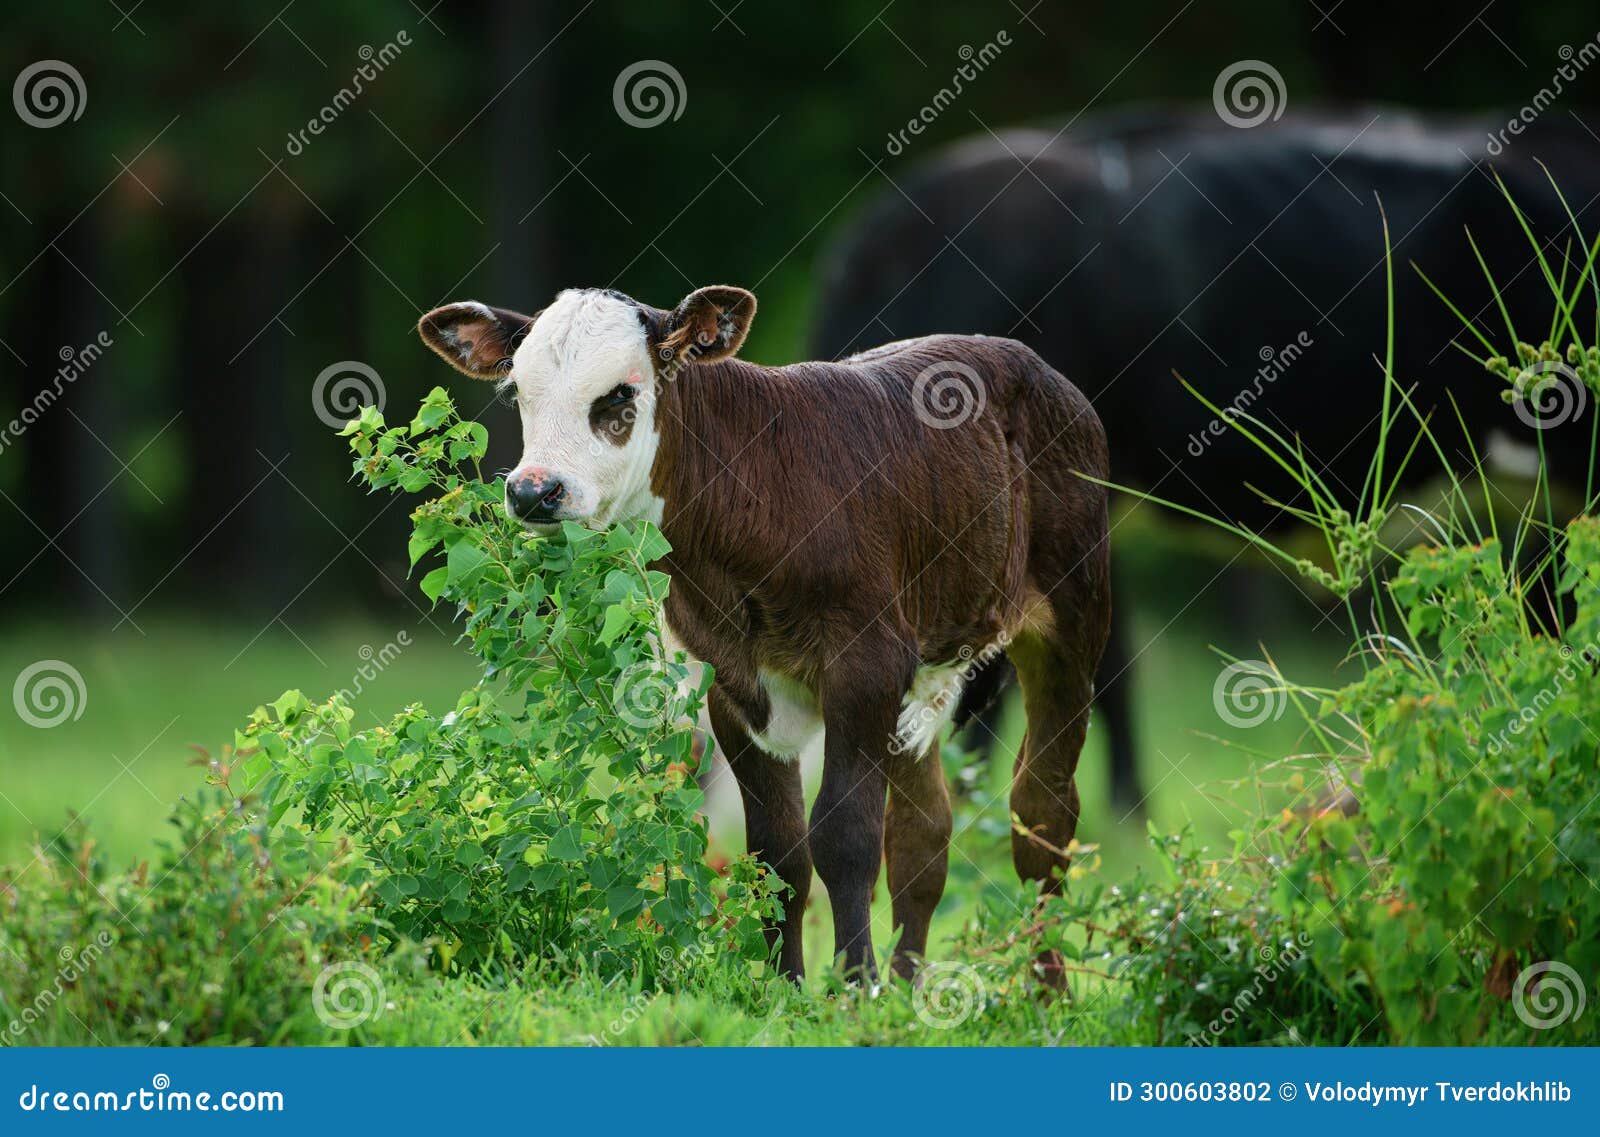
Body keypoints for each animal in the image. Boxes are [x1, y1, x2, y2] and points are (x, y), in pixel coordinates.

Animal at [417, 285, 1111, 982]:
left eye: (620, 393)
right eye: (519, 391)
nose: (534, 491)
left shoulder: (867, 665)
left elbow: (844, 837)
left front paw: (855, 988)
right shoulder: (732, 682)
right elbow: (779, 851)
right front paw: (789, 988)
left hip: (1072, 625)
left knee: (1043, 813)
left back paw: (1045, 988)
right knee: (924, 835)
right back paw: (909, 988)